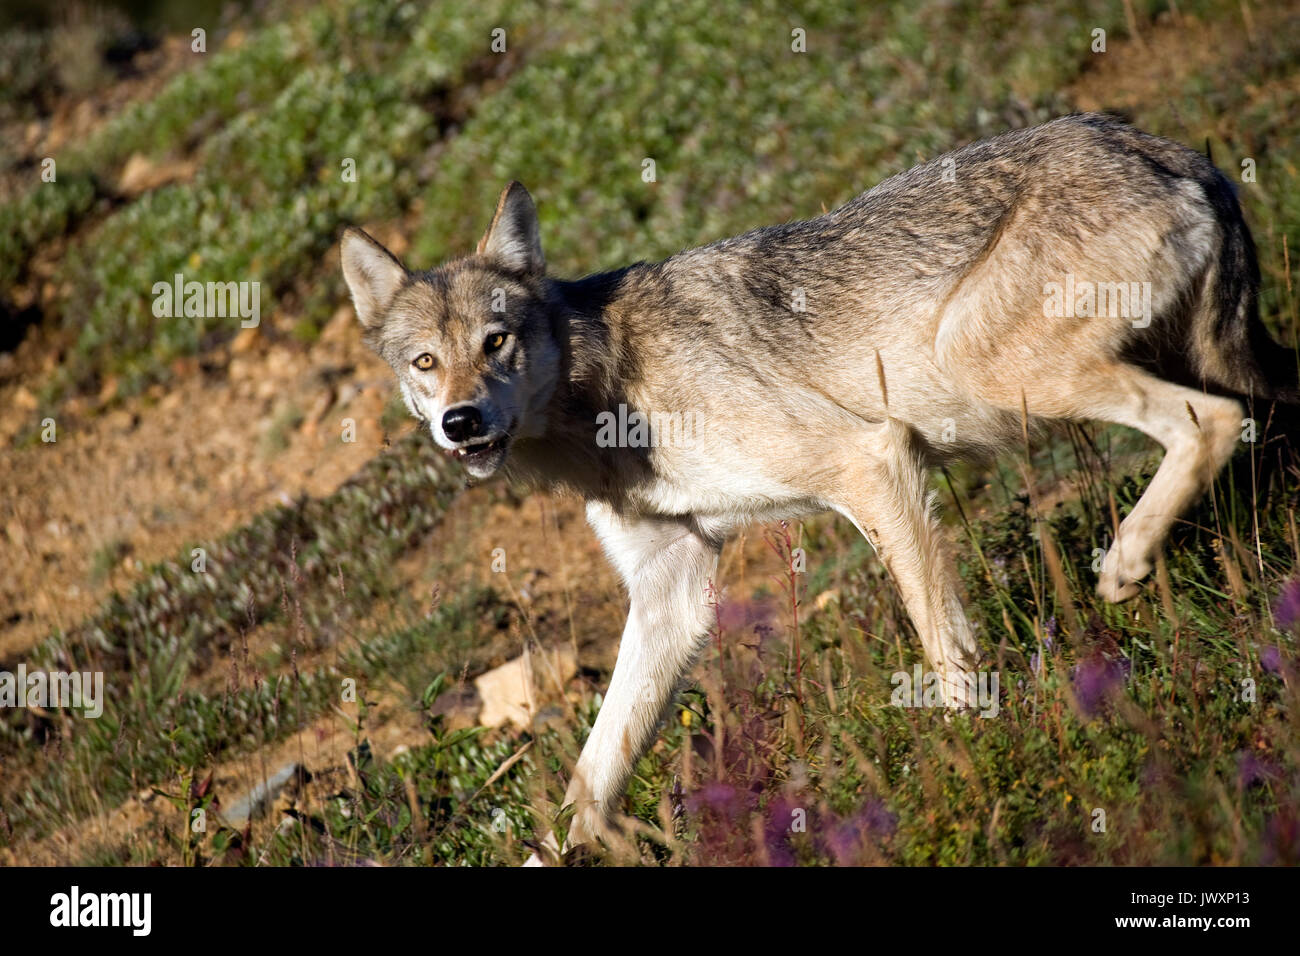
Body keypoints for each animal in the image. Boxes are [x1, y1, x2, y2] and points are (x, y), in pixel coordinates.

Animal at [341, 113, 1296, 862]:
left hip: (996, 365)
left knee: (1210, 422)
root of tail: (1165, 147)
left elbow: (947, 654)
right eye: (425, 363)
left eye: (495, 342)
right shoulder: (672, 589)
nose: (460, 420)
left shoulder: (869, 461)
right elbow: (590, 774)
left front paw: (971, 759)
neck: (602, 398)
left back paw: (1126, 562)